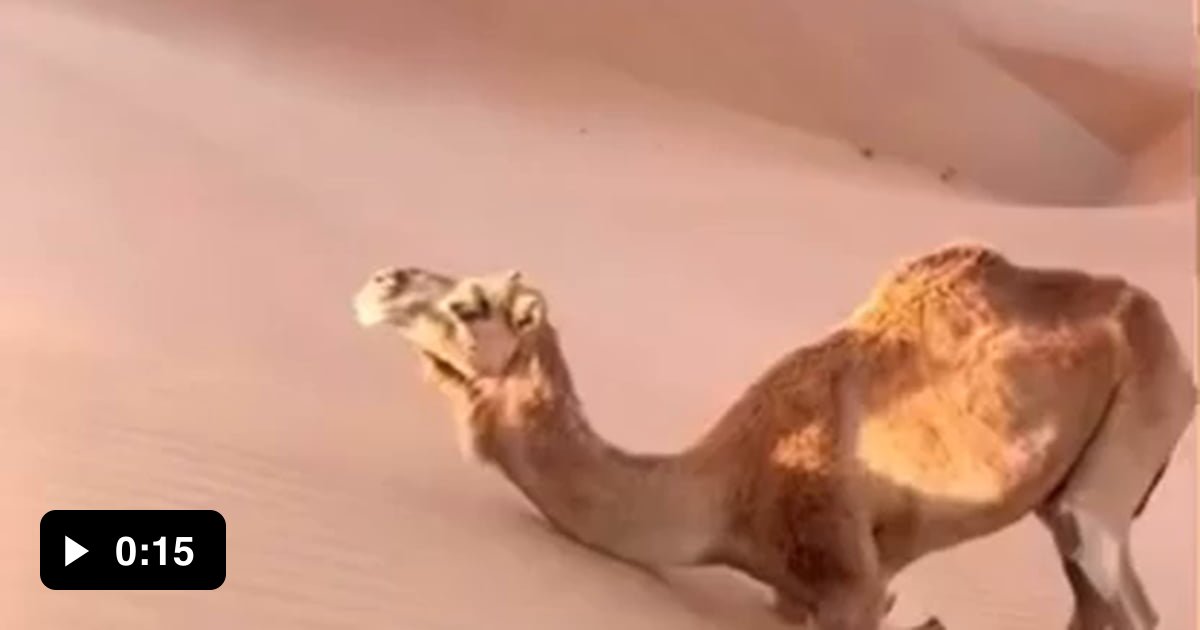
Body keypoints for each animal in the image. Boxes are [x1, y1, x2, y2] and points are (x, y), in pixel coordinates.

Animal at [352, 244, 1194, 630]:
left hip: (1121, 456)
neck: (723, 492)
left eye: (470, 306)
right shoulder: (797, 594)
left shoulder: (848, 579)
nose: (381, 280)